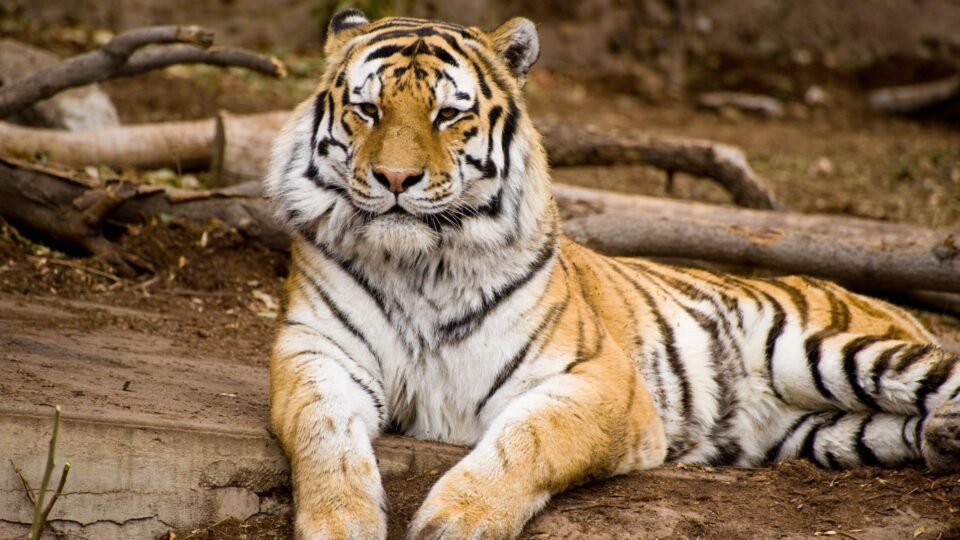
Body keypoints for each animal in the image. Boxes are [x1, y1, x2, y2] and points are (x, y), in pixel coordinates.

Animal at [264, 9, 960, 539]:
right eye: (367, 109)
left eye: (447, 115)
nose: (396, 178)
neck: (419, 265)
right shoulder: (315, 351)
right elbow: (322, 435)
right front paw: (341, 522)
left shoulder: (601, 379)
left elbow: (530, 438)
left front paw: (457, 519)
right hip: (825, 432)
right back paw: (942, 439)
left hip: (821, 349)